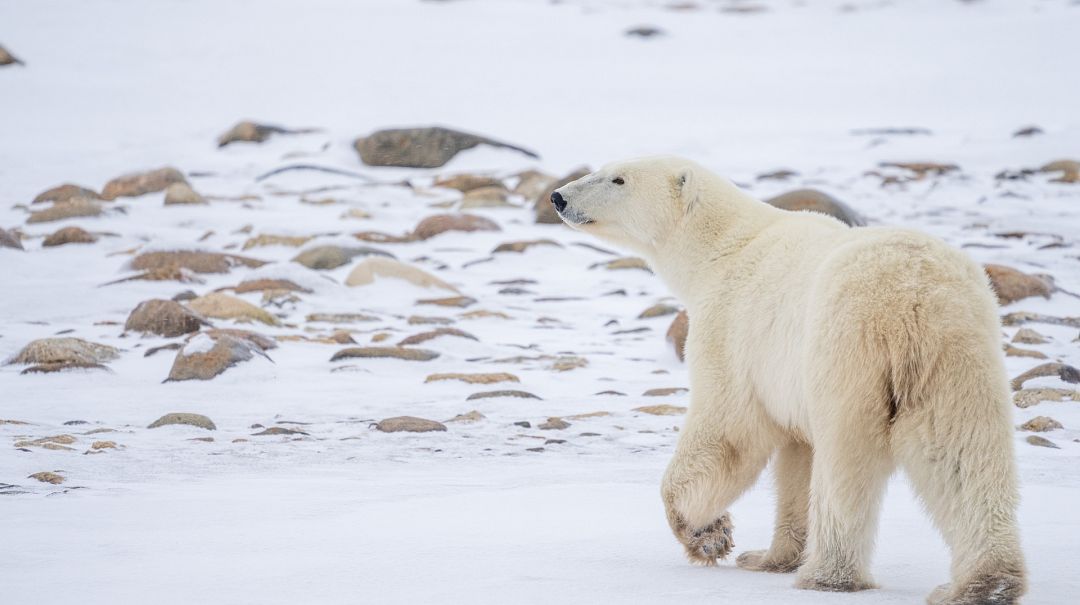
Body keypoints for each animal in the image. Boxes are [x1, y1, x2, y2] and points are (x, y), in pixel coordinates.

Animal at [551, 156, 1026, 604]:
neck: (722, 248)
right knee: (962, 453)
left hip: (845, 347)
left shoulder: (731, 328)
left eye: (618, 178)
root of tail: (912, 294)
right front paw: (767, 556)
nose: (558, 197)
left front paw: (709, 535)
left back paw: (829, 575)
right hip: (958, 353)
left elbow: (727, 430)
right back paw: (985, 582)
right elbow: (797, 455)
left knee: (846, 458)